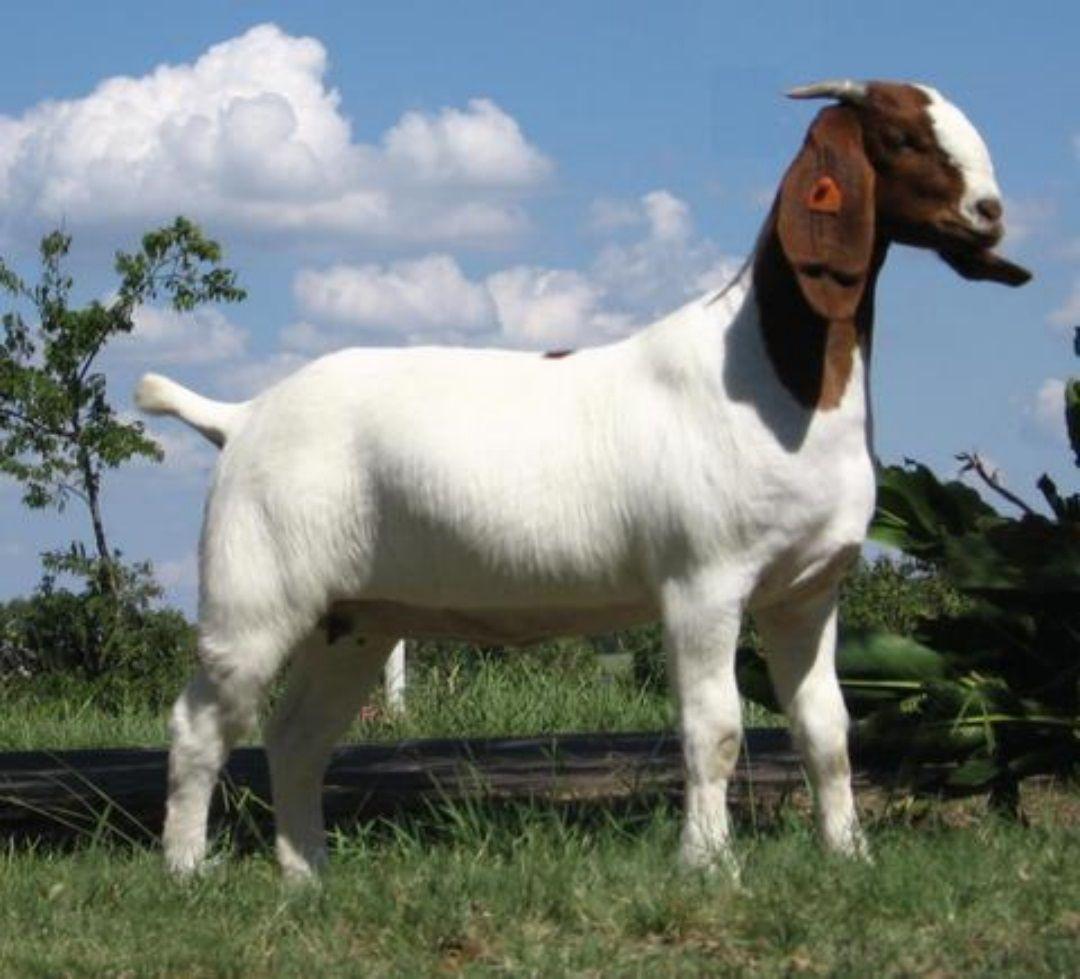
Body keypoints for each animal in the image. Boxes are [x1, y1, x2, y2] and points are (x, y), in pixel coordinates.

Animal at [137, 79, 1031, 879]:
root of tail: (242, 415)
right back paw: (188, 870)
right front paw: (709, 864)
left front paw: (848, 855)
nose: (991, 212)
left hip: (355, 617)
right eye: (904, 137)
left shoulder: (806, 591)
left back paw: (308, 874)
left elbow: (826, 729)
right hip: (256, 593)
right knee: (200, 723)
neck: (774, 375)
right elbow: (715, 728)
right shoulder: (703, 583)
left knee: (296, 735)